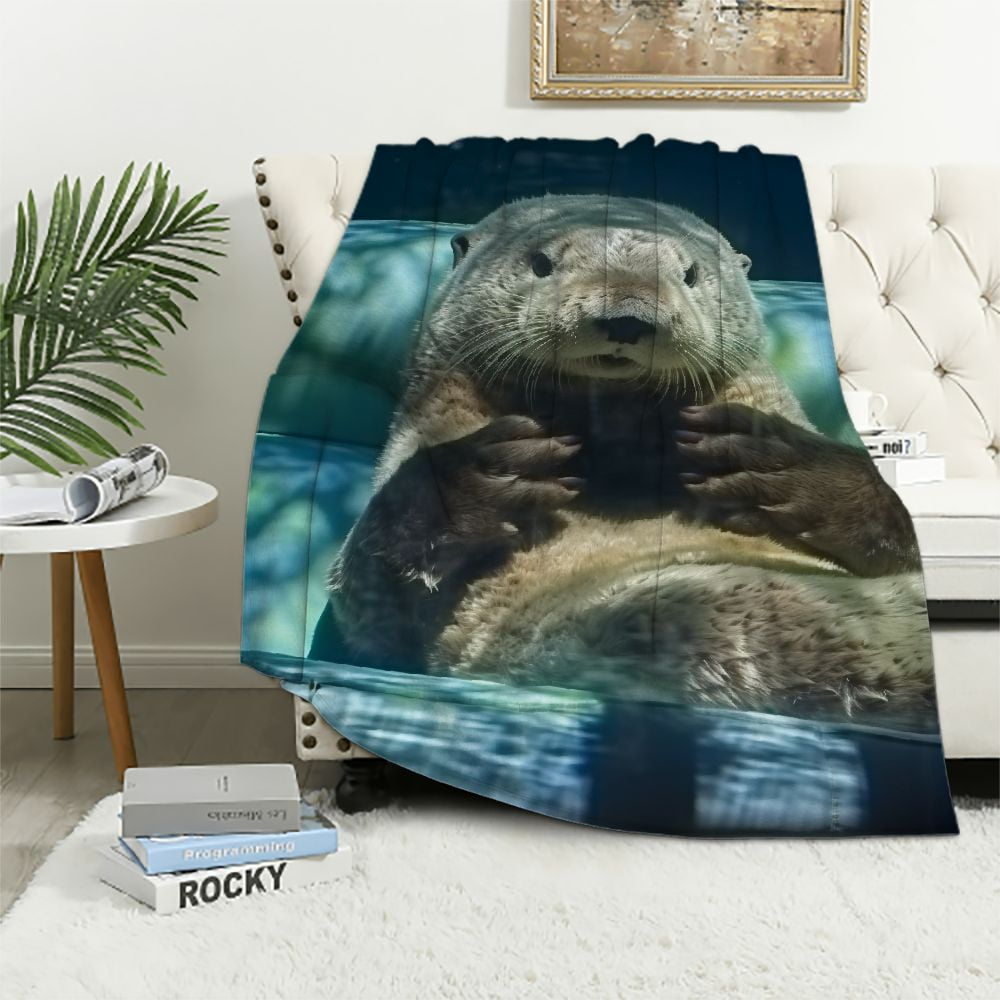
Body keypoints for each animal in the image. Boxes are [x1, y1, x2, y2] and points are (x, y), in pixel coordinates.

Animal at [329, 195, 931, 723]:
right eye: (542, 263)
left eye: (690, 274)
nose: (627, 318)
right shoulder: (425, 427)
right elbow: (368, 603)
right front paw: (492, 471)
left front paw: (777, 466)